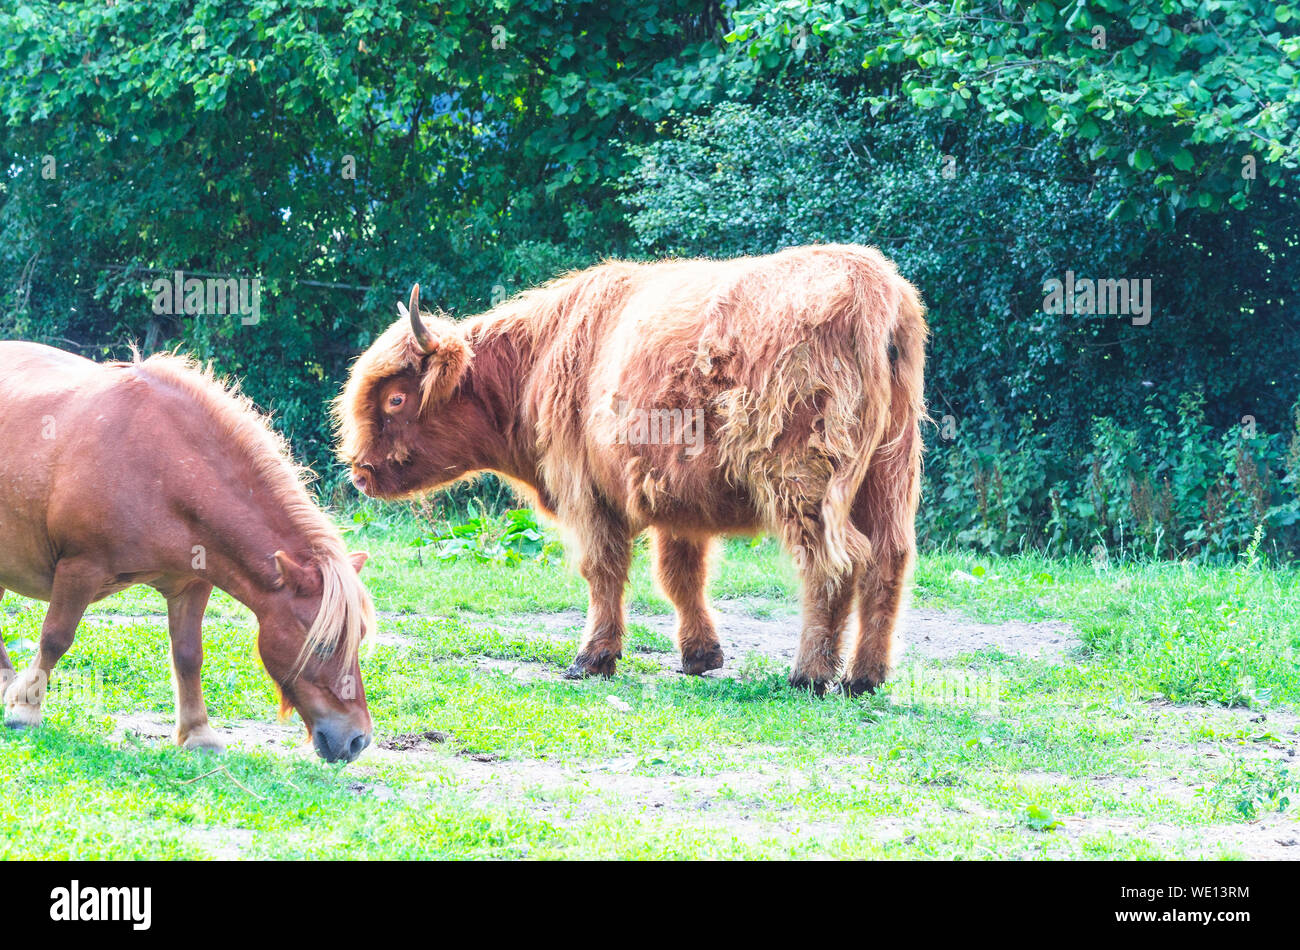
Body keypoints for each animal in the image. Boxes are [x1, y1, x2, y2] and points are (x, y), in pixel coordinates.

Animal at [0, 342, 375, 762]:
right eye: (323, 645)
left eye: (360, 637)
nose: (357, 739)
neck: (159, 467)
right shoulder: (80, 569)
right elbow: (56, 637)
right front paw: (25, 708)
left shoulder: (193, 583)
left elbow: (188, 655)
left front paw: (198, 733)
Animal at [338, 244, 927, 695]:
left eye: (394, 399)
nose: (359, 473)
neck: (537, 360)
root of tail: (872, 284)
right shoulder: (681, 501)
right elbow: (680, 576)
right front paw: (700, 655)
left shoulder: (584, 490)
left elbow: (602, 571)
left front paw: (591, 658)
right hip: (890, 472)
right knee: (889, 559)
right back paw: (865, 677)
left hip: (803, 476)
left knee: (832, 564)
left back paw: (810, 674)